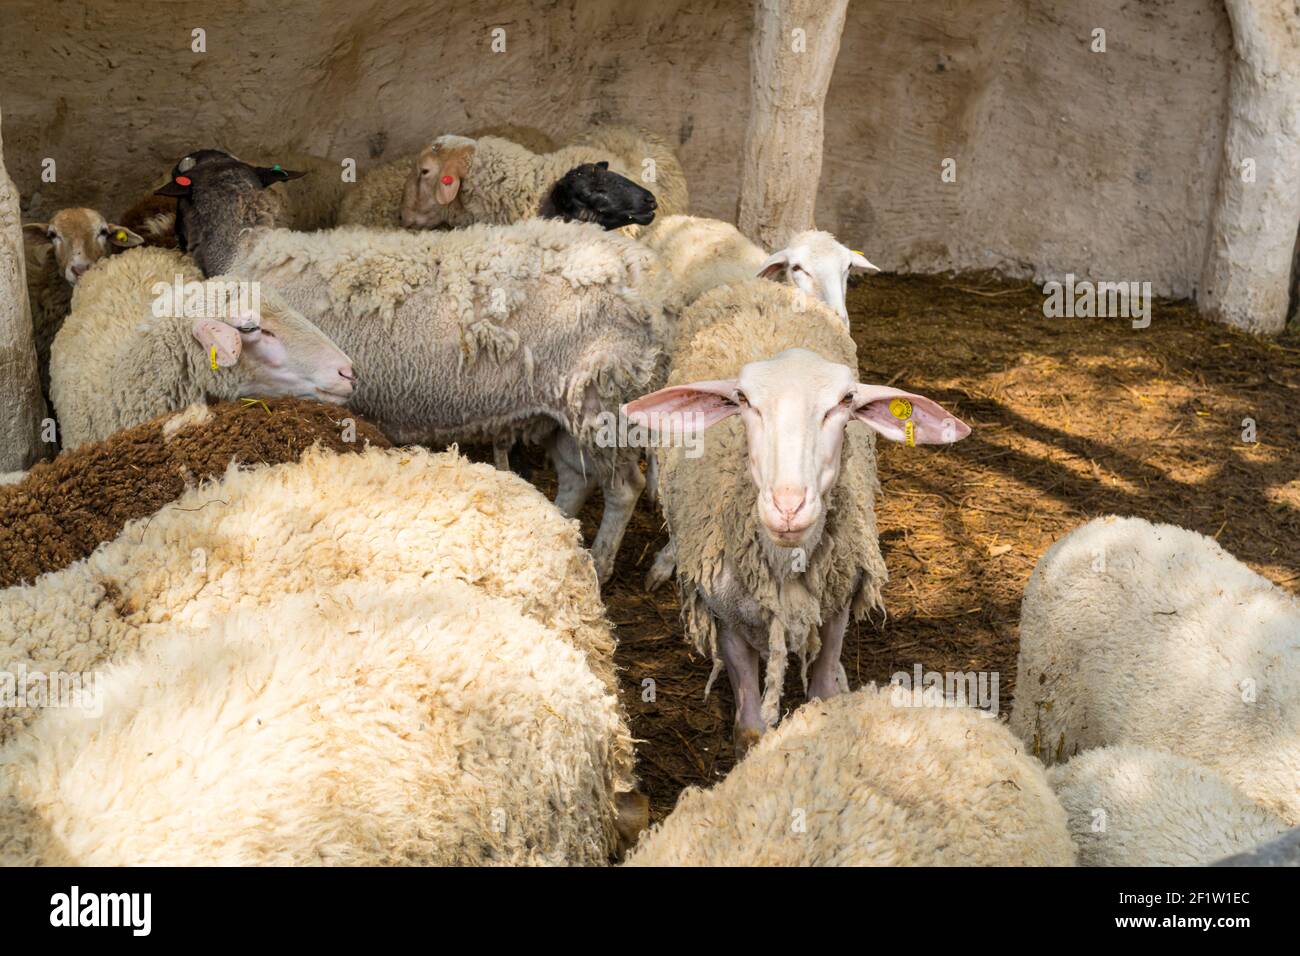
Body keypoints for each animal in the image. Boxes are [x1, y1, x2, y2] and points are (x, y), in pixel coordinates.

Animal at [164, 149, 667, 583]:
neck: (242, 247)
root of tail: (641, 270)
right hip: (562, 406)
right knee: (576, 478)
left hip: (604, 396)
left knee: (625, 486)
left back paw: (602, 563)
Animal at [624, 282, 969, 752]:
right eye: (743, 400)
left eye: (845, 401)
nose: (788, 506)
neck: (786, 565)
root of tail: (758, 284)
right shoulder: (728, 620)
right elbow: (750, 728)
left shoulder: (836, 606)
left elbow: (822, 694)